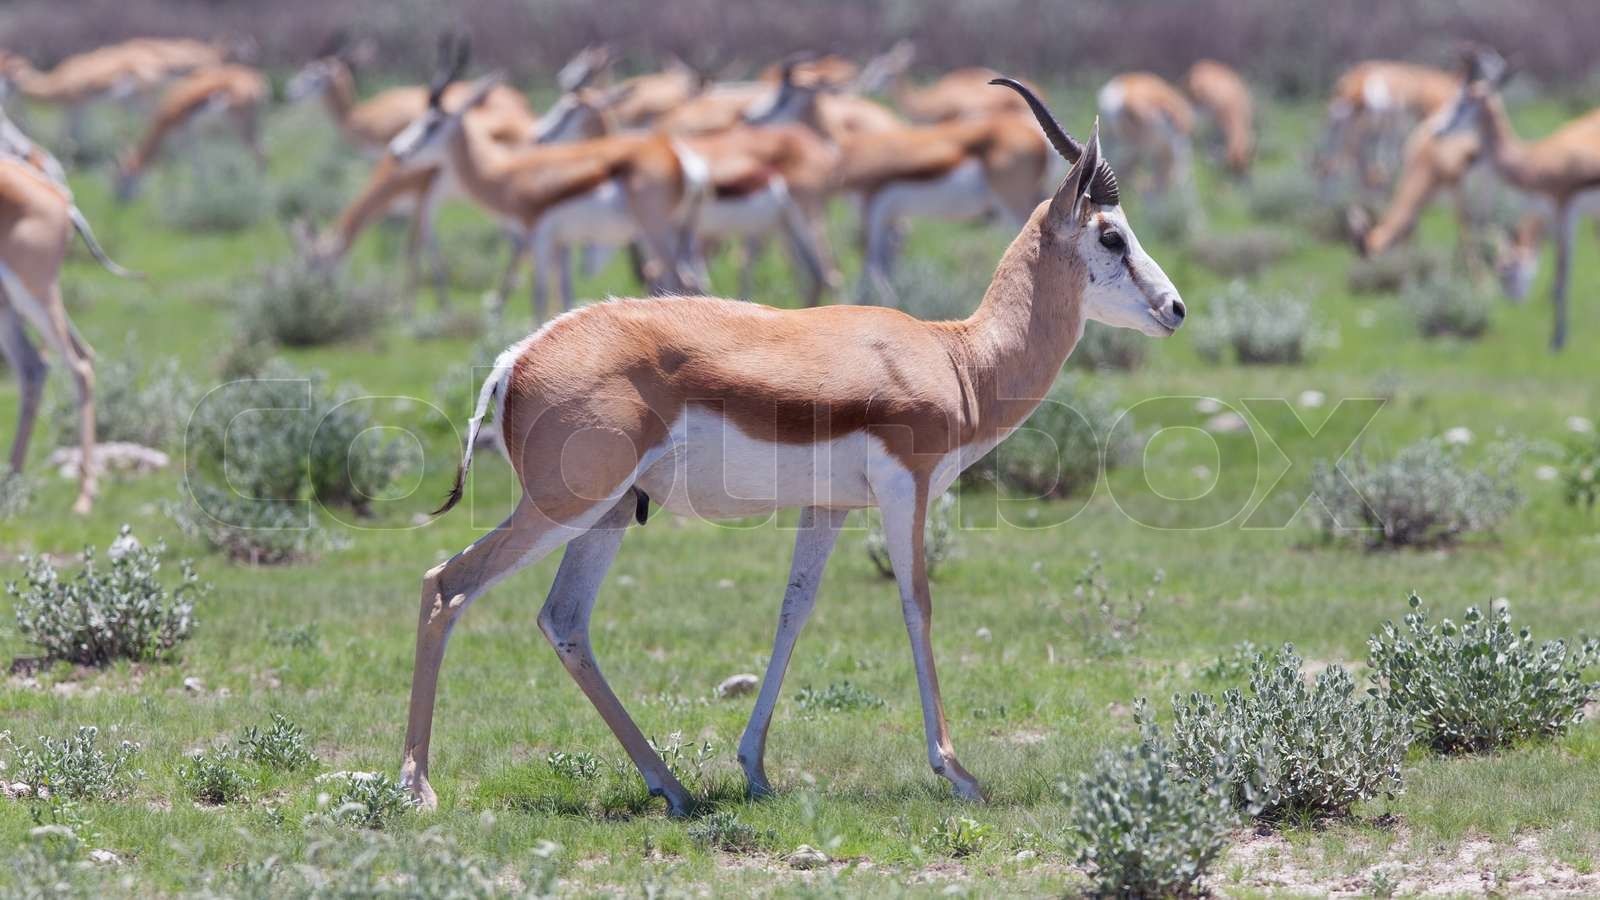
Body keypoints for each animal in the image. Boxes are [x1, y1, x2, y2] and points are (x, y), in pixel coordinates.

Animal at [113, 63, 268, 202]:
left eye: (121, 178)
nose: (120, 200)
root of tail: (257, 83)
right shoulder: (193, 139)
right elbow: (197, 163)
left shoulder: (185, 139)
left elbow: (192, 164)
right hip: (254, 125)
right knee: (263, 151)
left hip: (240, 128)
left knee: (259, 154)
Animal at [387, 52, 704, 322]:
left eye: (432, 123)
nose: (398, 151)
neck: (507, 173)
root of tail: (680, 158)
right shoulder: (561, 243)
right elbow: (565, 295)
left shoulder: (536, 235)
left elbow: (538, 296)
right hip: (678, 233)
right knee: (689, 281)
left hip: (654, 230)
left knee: (678, 279)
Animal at [398, 78, 1186, 814]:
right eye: (1111, 236)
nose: (1175, 308)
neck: (958, 356)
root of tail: (517, 357)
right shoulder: (907, 488)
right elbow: (917, 603)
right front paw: (957, 771)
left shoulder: (827, 507)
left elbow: (793, 612)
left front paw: (755, 768)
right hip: (566, 505)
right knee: (446, 584)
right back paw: (418, 786)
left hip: (612, 511)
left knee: (564, 620)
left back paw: (671, 786)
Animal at [1437, 48, 1600, 349]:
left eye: (1463, 102)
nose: (1438, 130)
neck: (1535, 160)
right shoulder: (1555, 215)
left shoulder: (1564, 210)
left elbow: (1561, 277)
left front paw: (1557, 341)